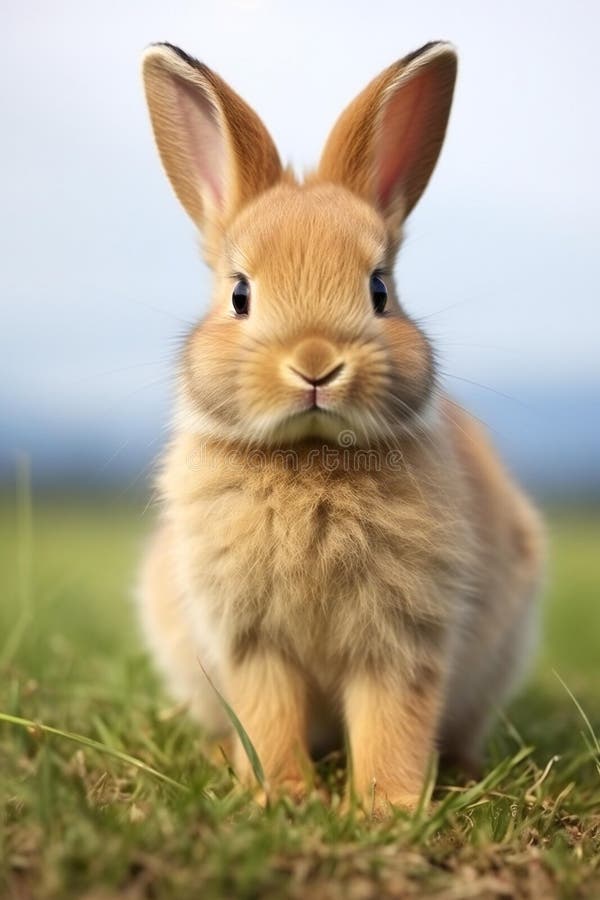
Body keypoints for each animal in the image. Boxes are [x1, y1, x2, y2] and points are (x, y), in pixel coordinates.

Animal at [138, 41, 545, 816]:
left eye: (380, 289)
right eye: (240, 294)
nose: (316, 364)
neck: (311, 456)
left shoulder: (404, 635)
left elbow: (393, 721)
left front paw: (387, 808)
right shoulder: (251, 641)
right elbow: (267, 717)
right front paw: (283, 797)